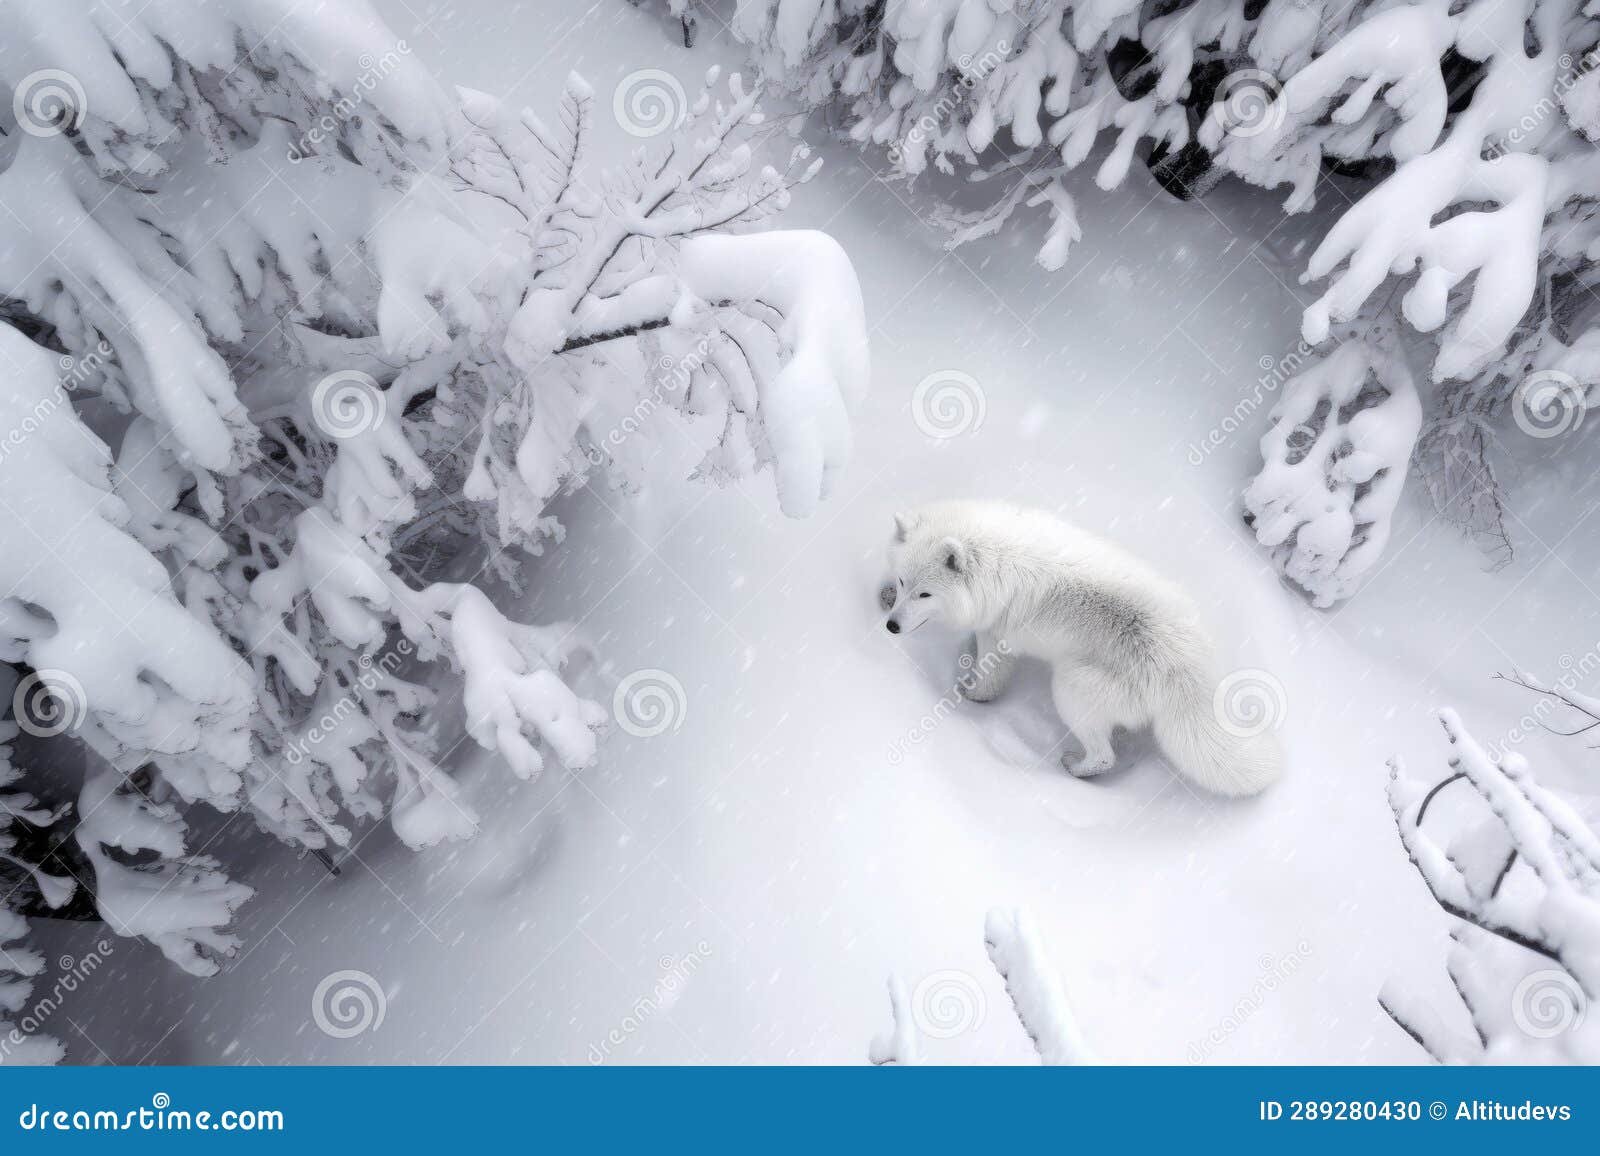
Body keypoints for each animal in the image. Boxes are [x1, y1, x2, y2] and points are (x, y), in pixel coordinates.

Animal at [880, 500, 1281, 796]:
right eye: (902, 583)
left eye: (925, 594)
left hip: (1071, 688)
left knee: (1105, 757)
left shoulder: (998, 638)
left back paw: (1075, 768)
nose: (891, 626)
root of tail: (1185, 667)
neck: (993, 558)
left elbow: (990, 682)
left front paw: (971, 695)